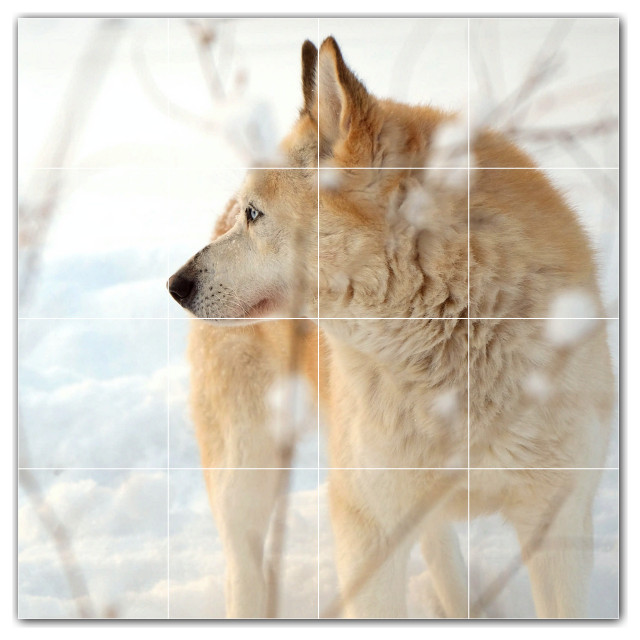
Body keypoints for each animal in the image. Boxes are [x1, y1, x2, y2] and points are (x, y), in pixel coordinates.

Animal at [168, 37, 614, 618]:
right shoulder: (369, 528)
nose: (176, 285)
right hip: (247, 468)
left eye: (255, 214)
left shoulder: (558, 522)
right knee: (241, 567)